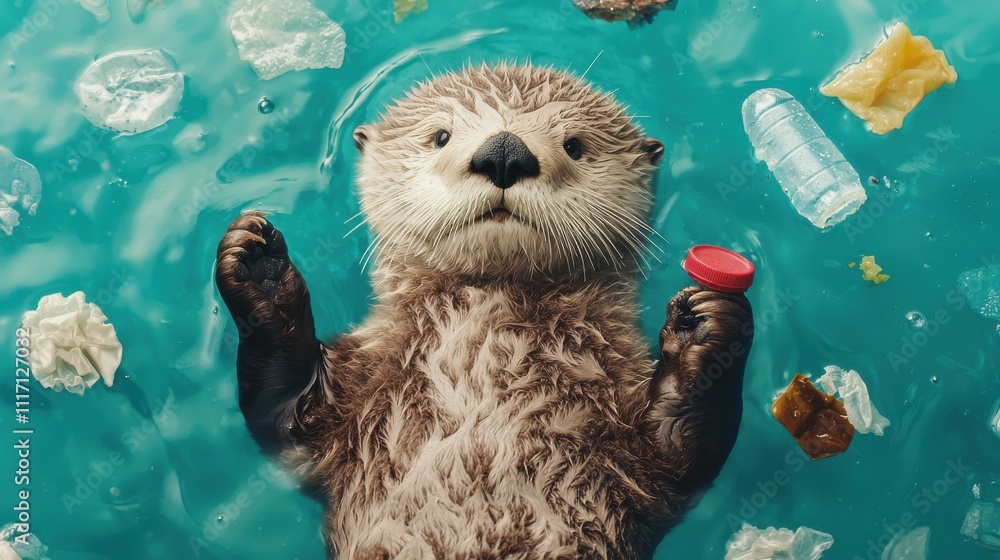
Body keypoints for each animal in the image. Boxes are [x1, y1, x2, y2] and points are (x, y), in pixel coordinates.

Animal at [215, 64, 752, 559]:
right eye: (440, 136)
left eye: (575, 145)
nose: (505, 152)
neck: (488, 339)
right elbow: (283, 415)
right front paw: (261, 267)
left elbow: (680, 455)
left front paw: (708, 323)